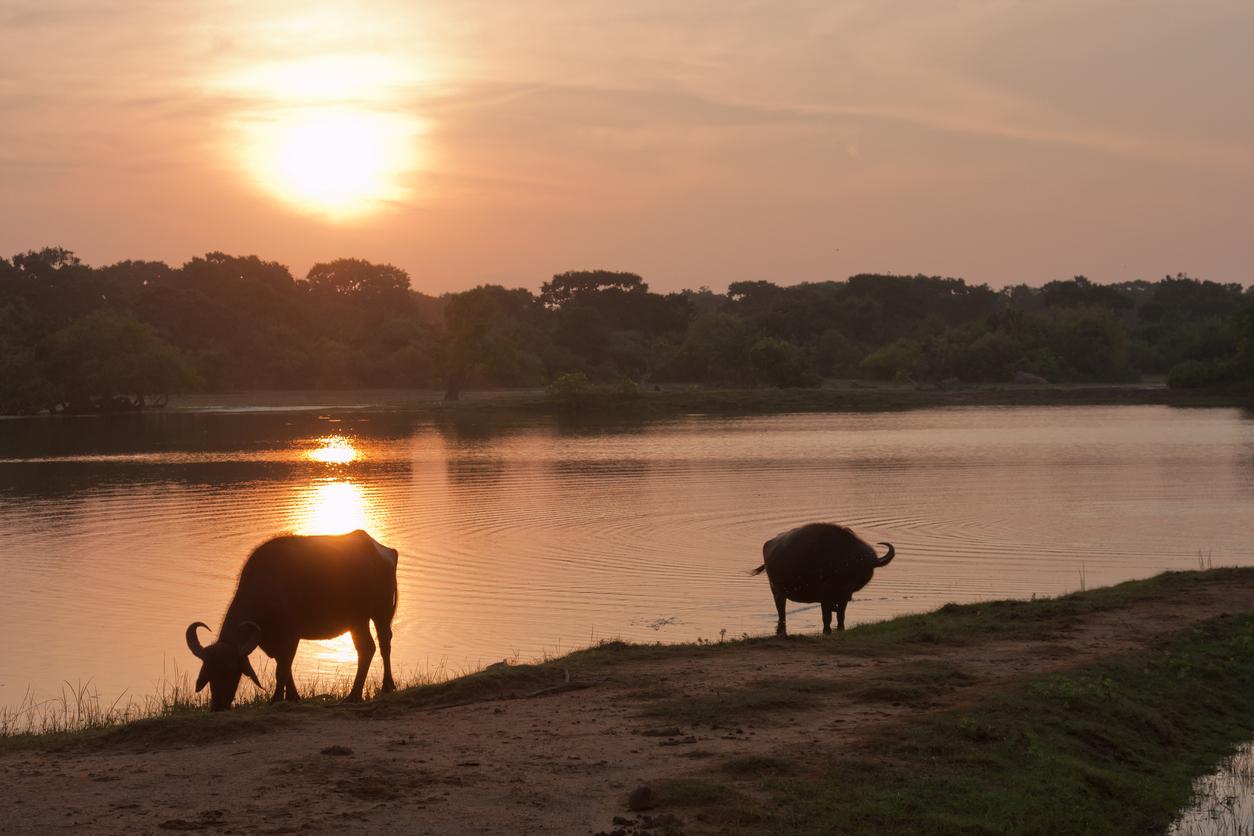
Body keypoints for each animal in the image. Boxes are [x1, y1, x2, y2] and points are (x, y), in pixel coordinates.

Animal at [186, 529, 399, 711]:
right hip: (357, 621)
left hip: (380, 613)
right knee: (368, 648)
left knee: (382, 644)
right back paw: (361, 693)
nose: (218, 705)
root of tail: (384, 552)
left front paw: (276, 699)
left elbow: (282, 669)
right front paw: (293, 696)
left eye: (229, 670)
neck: (265, 589)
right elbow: (284, 666)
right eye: (208, 671)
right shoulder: (272, 641)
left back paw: (378, 688)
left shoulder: (291, 635)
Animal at [751, 523, 895, 635]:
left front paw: (840, 628)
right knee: (781, 611)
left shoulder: (842, 600)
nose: (847, 593)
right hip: (777, 591)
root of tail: (769, 545)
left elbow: (840, 615)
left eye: (860, 572)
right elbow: (827, 616)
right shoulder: (825, 598)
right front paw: (826, 631)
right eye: (840, 571)